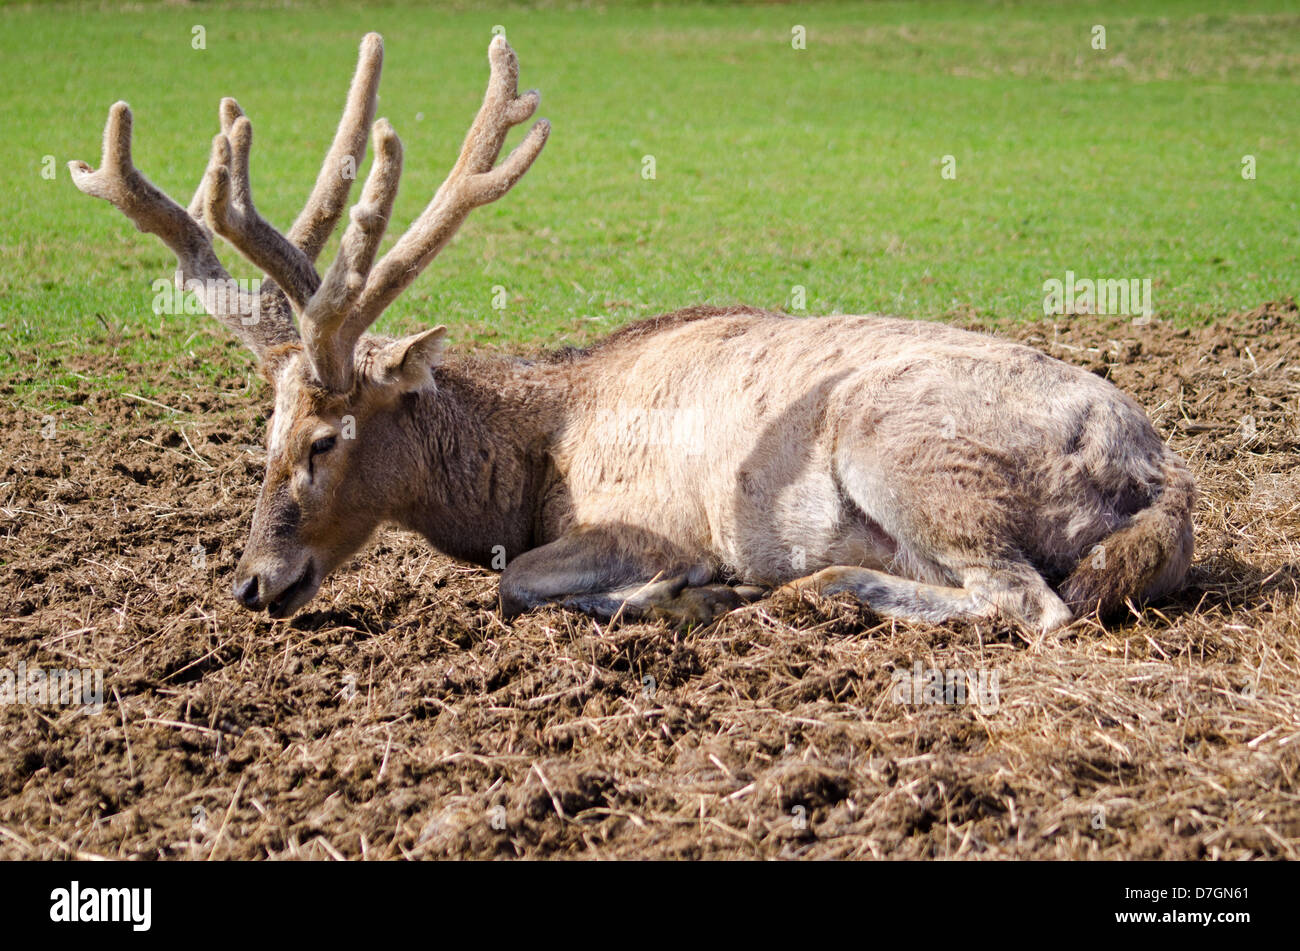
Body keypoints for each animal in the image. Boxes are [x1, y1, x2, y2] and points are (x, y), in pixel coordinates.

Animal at [70, 33, 1195, 634]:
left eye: (324, 439)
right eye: (259, 439)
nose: (253, 583)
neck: (532, 465)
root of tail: (1164, 482)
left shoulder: (648, 514)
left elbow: (519, 582)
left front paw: (673, 590)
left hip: (910, 452)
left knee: (1035, 605)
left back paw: (775, 591)